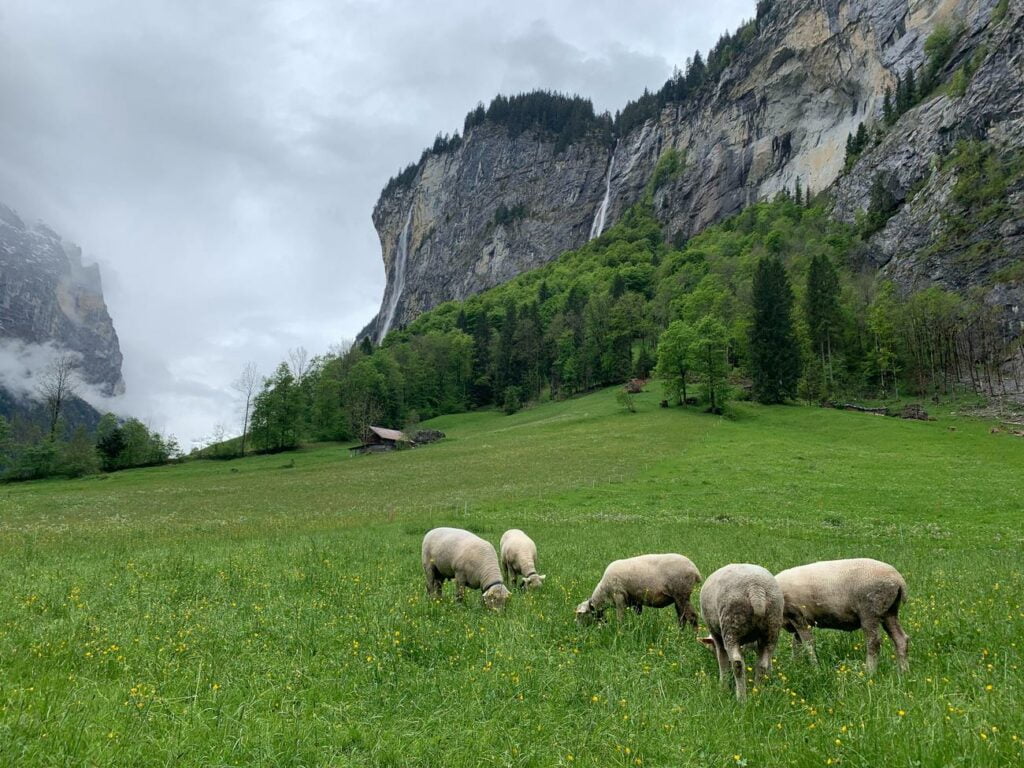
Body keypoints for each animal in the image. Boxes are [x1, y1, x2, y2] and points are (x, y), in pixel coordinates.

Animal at [699, 563, 784, 702]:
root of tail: (755, 589)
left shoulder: (717, 635)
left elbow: (722, 658)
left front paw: (723, 686)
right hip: (772, 625)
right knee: (762, 664)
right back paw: (757, 693)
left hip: (731, 624)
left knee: (738, 664)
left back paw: (741, 698)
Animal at [774, 558, 909, 674]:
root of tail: (899, 580)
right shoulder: (796, 622)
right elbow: (797, 646)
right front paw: (795, 666)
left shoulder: (798, 616)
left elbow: (808, 645)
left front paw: (815, 669)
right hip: (889, 611)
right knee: (901, 639)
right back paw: (903, 672)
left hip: (870, 611)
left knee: (874, 642)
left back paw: (869, 672)